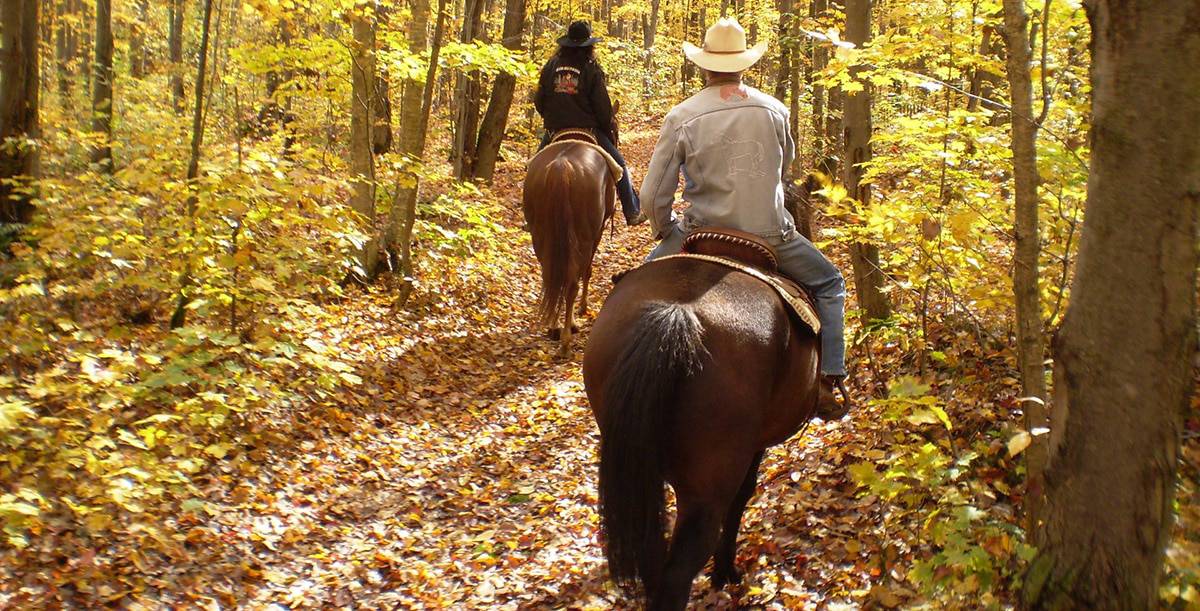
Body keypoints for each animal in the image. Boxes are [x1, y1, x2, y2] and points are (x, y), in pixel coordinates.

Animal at [522, 127, 617, 358]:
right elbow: (587, 271)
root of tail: (561, 166)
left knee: (552, 277)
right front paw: (583, 307)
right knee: (572, 281)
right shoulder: (597, 232)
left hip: (541, 235)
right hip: (584, 237)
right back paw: (567, 337)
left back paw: (555, 328)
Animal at [581, 231, 822, 610]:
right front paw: (725, 572)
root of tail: (676, 314)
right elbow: (743, 497)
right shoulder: (754, 449)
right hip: (706, 491)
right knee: (678, 571)